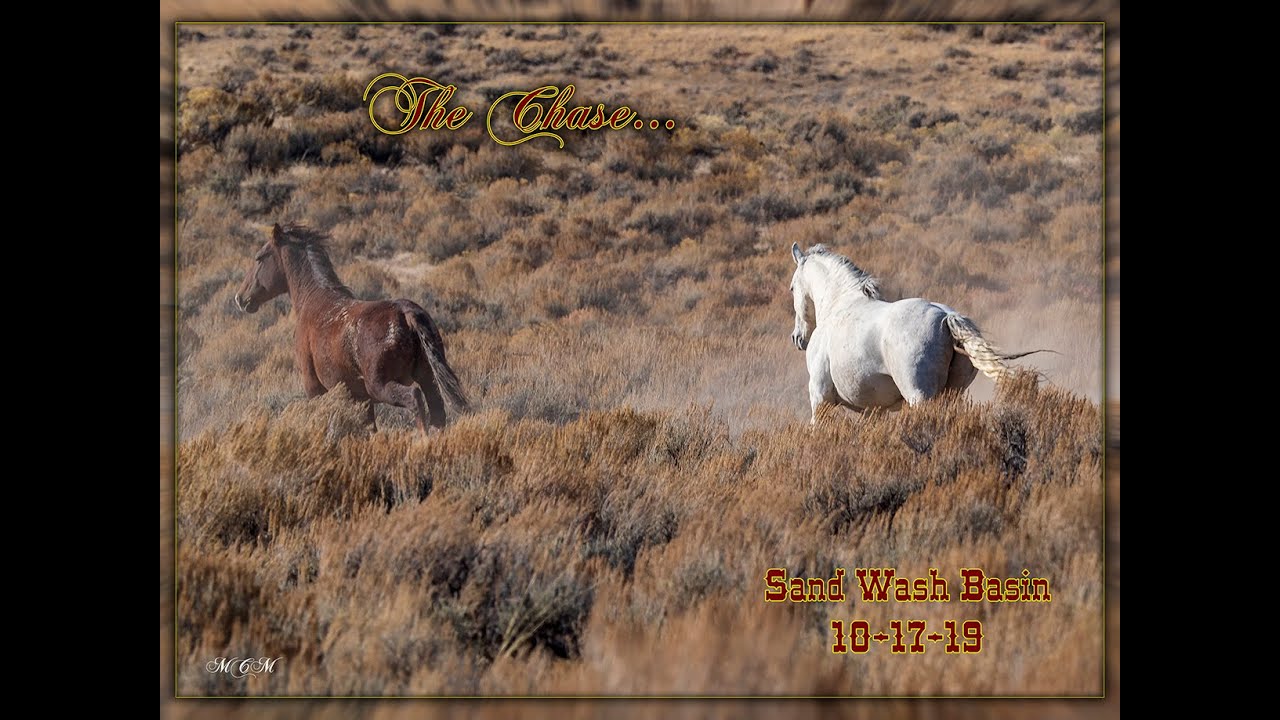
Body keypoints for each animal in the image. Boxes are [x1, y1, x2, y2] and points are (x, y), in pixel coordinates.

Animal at [235, 223, 468, 433]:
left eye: (259, 257)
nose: (240, 298)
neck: (313, 299)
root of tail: (405, 313)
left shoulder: (314, 389)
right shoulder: (362, 399)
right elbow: (371, 430)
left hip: (381, 385)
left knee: (414, 398)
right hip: (426, 378)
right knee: (437, 412)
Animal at [788, 242, 1044, 423]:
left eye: (791, 288)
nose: (797, 338)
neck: (840, 305)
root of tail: (945, 317)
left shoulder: (820, 397)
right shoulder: (873, 410)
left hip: (918, 395)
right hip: (952, 395)